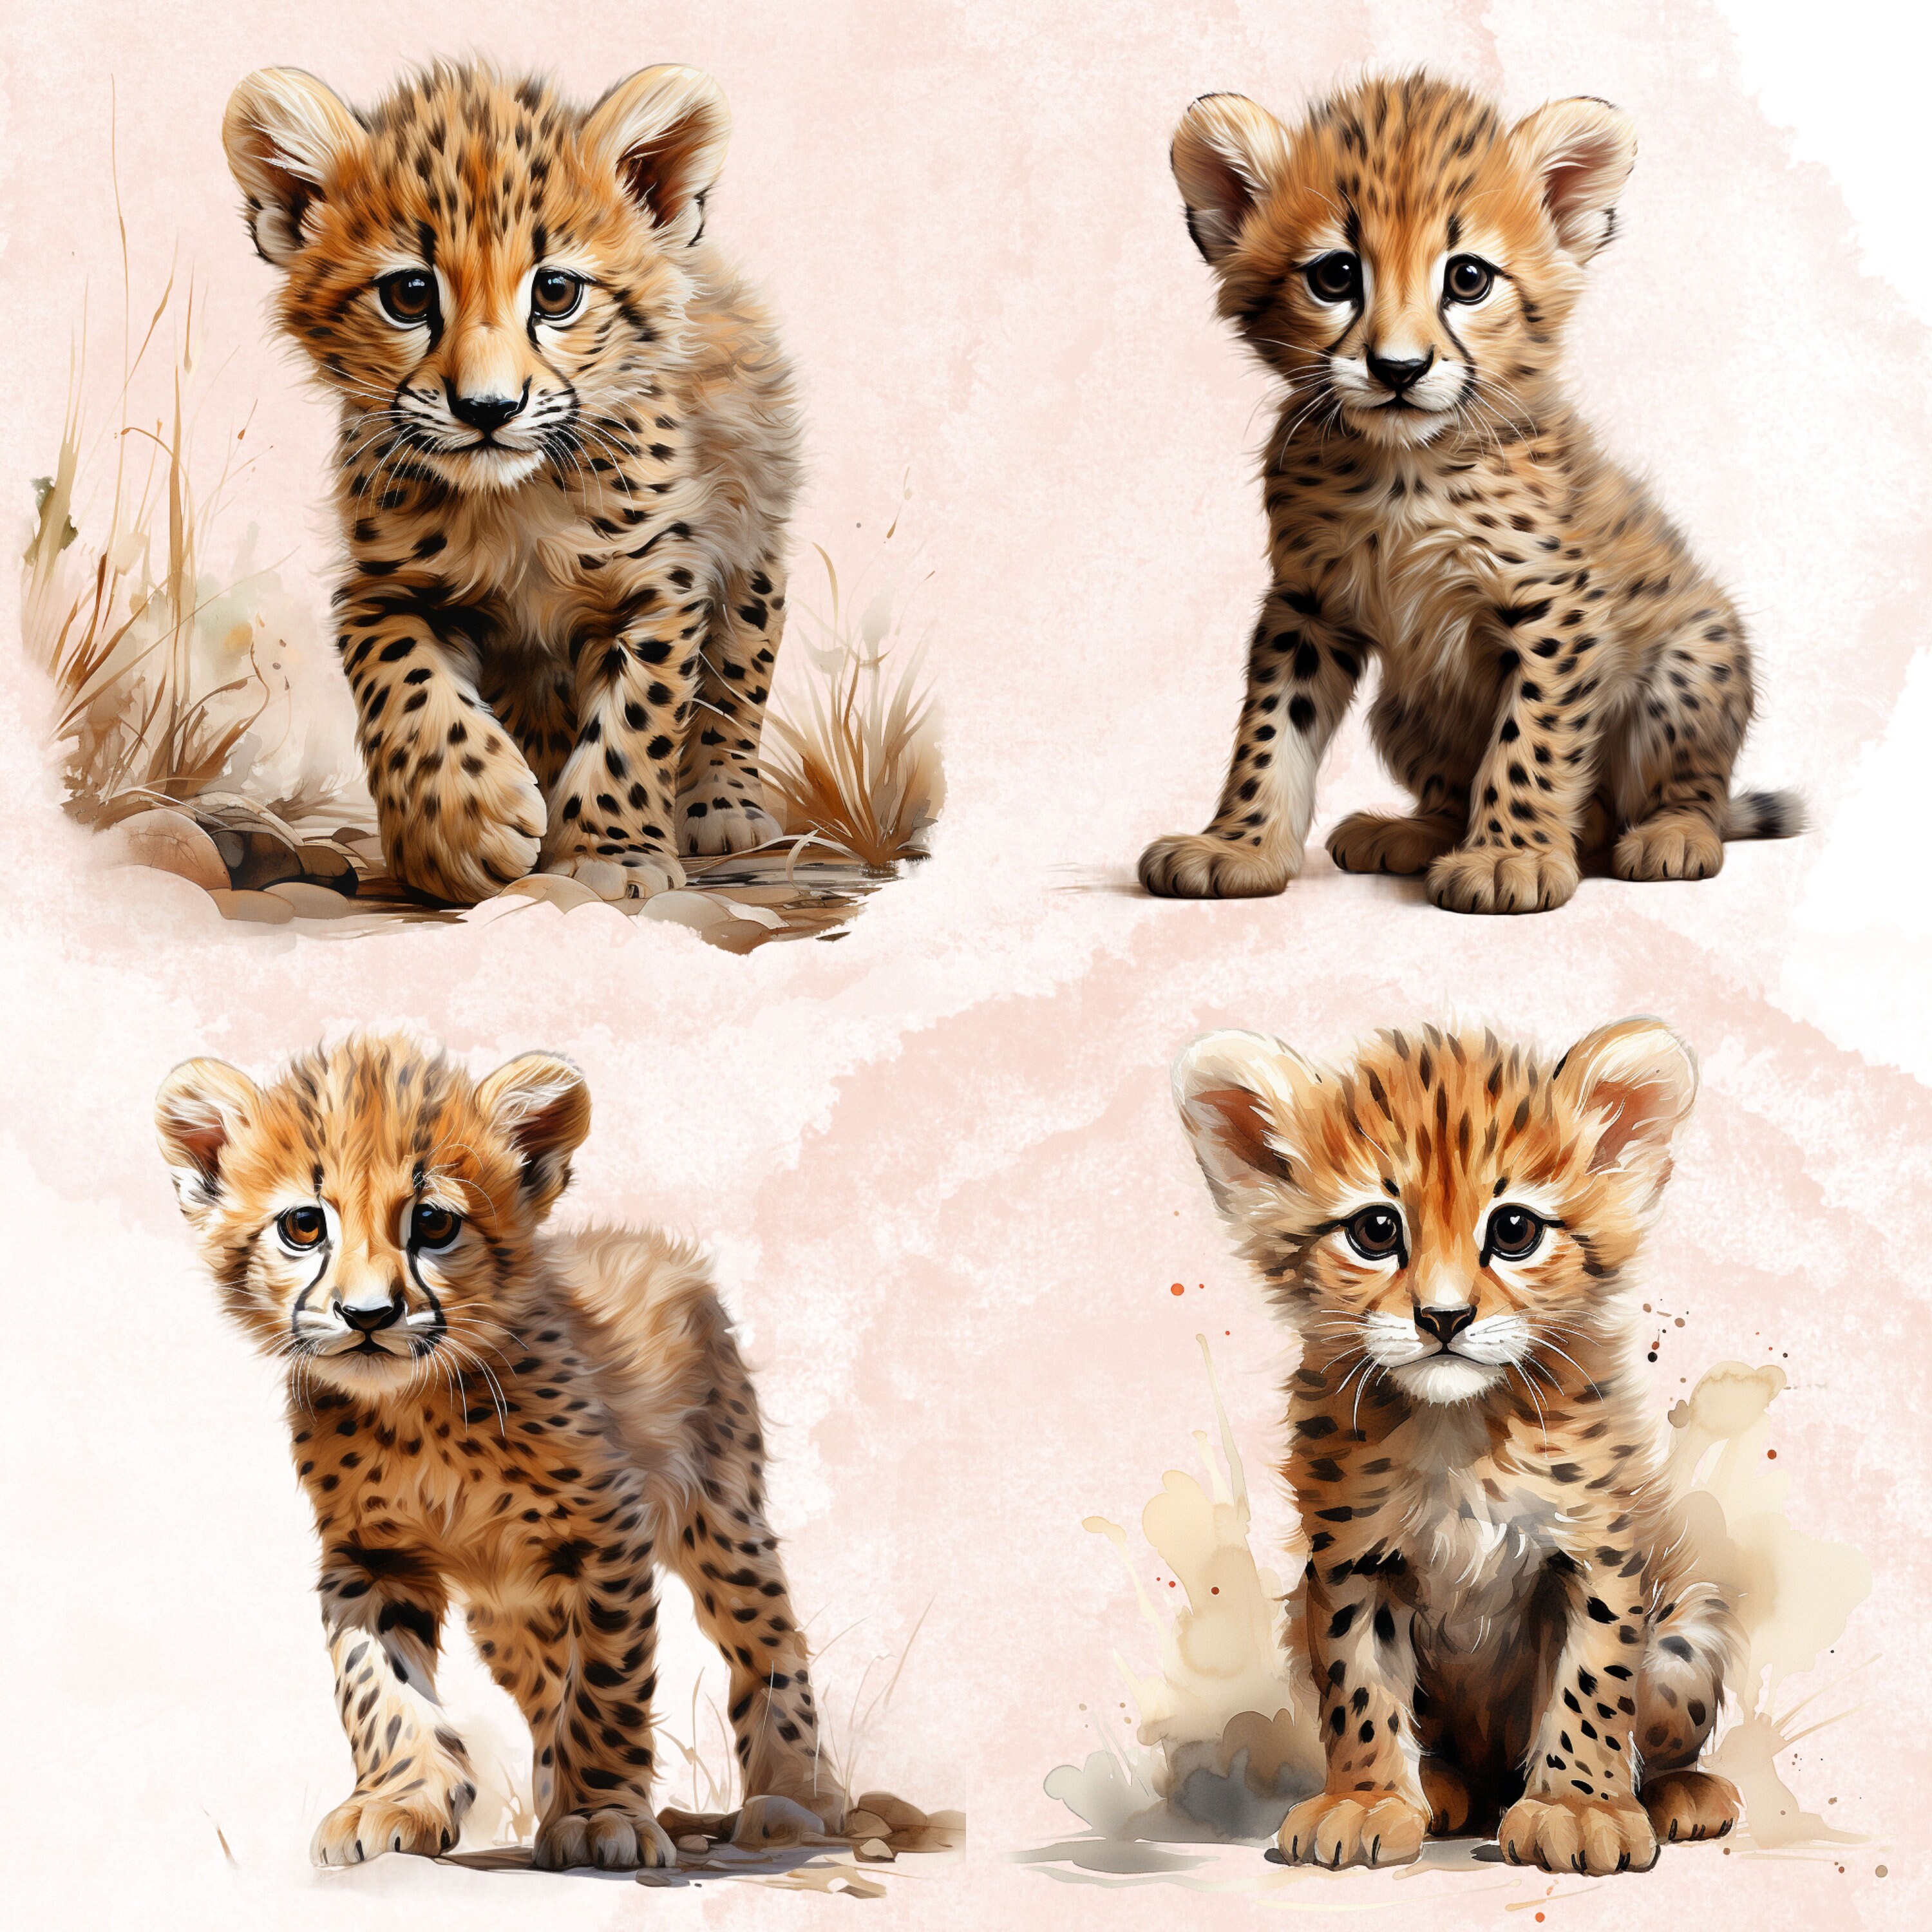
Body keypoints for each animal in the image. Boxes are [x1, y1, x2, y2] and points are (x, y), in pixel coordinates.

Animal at [155, 1034, 844, 1870]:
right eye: (305, 1227)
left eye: (432, 1223)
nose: (367, 1315)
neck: (417, 1410)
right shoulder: (371, 1556)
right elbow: (378, 1685)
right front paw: (397, 1800)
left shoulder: (608, 1536)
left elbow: (607, 1684)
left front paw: (598, 1813)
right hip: (513, 1612)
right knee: (544, 1684)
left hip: (721, 1518)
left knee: (766, 1640)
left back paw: (796, 1797)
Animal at [222, 60, 799, 904]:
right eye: (410, 295)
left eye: (556, 293)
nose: (488, 409)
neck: (516, 503)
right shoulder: (382, 589)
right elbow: (403, 684)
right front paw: (459, 828)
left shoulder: (659, 585)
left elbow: (638, 722)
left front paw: (613, 853)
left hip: (754, 548)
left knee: (736, 677)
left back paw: (722, 805)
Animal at [1139, 72, 1801, 914]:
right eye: (1335, 276)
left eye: (1468, 279)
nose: (1398, 369)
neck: (1402, 469)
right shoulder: (1308, 603)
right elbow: (1272, 728)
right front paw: (1241, 845)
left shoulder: (1555, 606)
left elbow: (1531, 737)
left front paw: (1510, 857)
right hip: (1407, 707)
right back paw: (1412, 834)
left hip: (1693, 660)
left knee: (1683, 793)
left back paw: (1668, 835)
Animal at [1171, 1015, 1743, 1874]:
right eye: (1376, 1231)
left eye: (1514, 1230)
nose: (1443, 1318)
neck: (1460, 1433)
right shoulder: (1350, 1562)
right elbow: (1358, 1685)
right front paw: (1368, 1799)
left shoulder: (1595, 1552)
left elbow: (1593, 1682)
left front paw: (1579, 1807)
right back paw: (1441, 1789)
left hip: (1684, 1643)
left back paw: (1676, 1793)